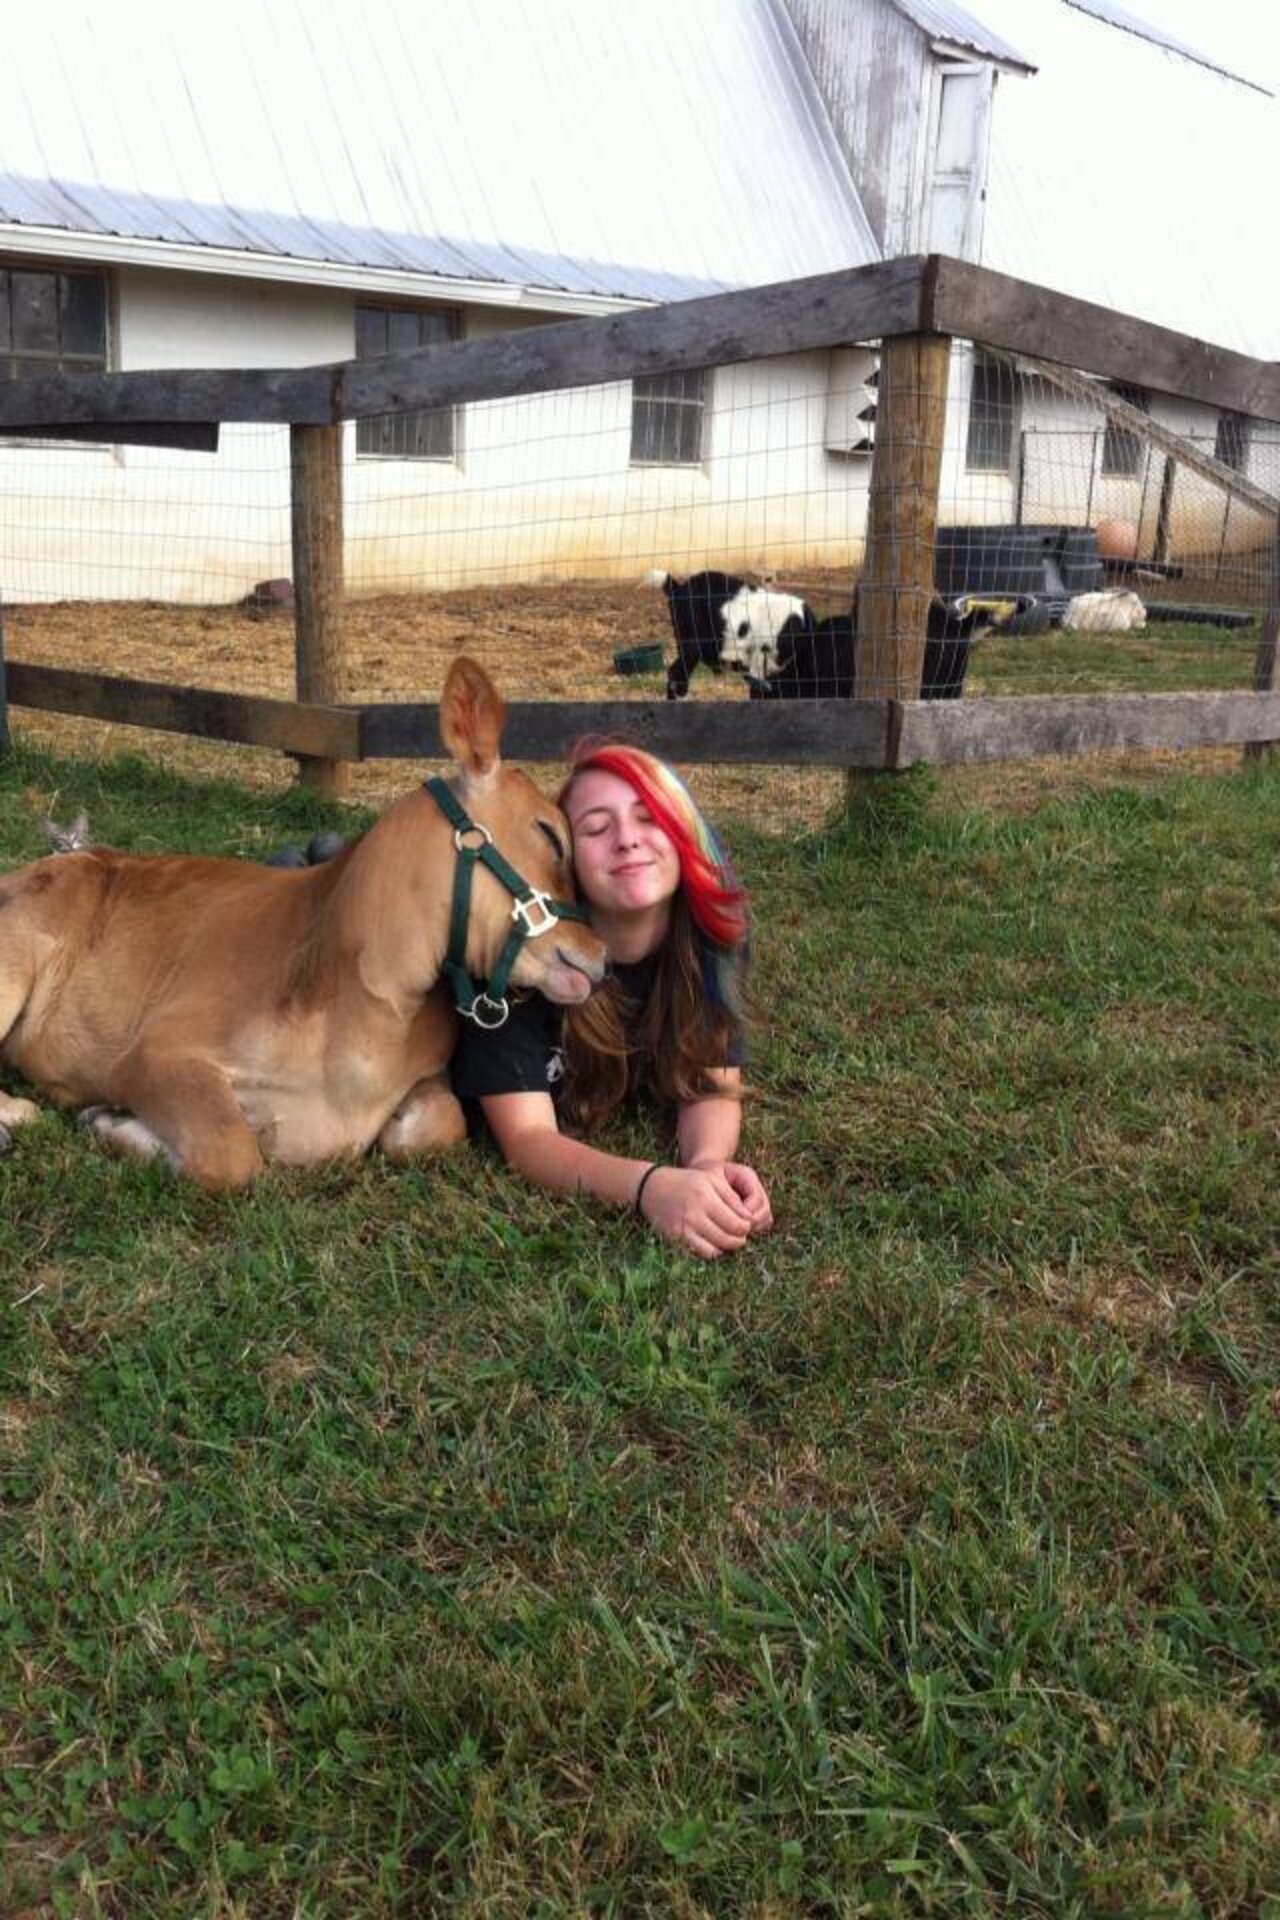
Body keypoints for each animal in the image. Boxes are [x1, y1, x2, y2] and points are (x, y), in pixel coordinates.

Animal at [0, 658, 607, 1189]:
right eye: (551, 835)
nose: (600, 956)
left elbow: (439, 1127)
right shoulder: (153, 1053)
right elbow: (232, 1155)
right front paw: (108, 1121)